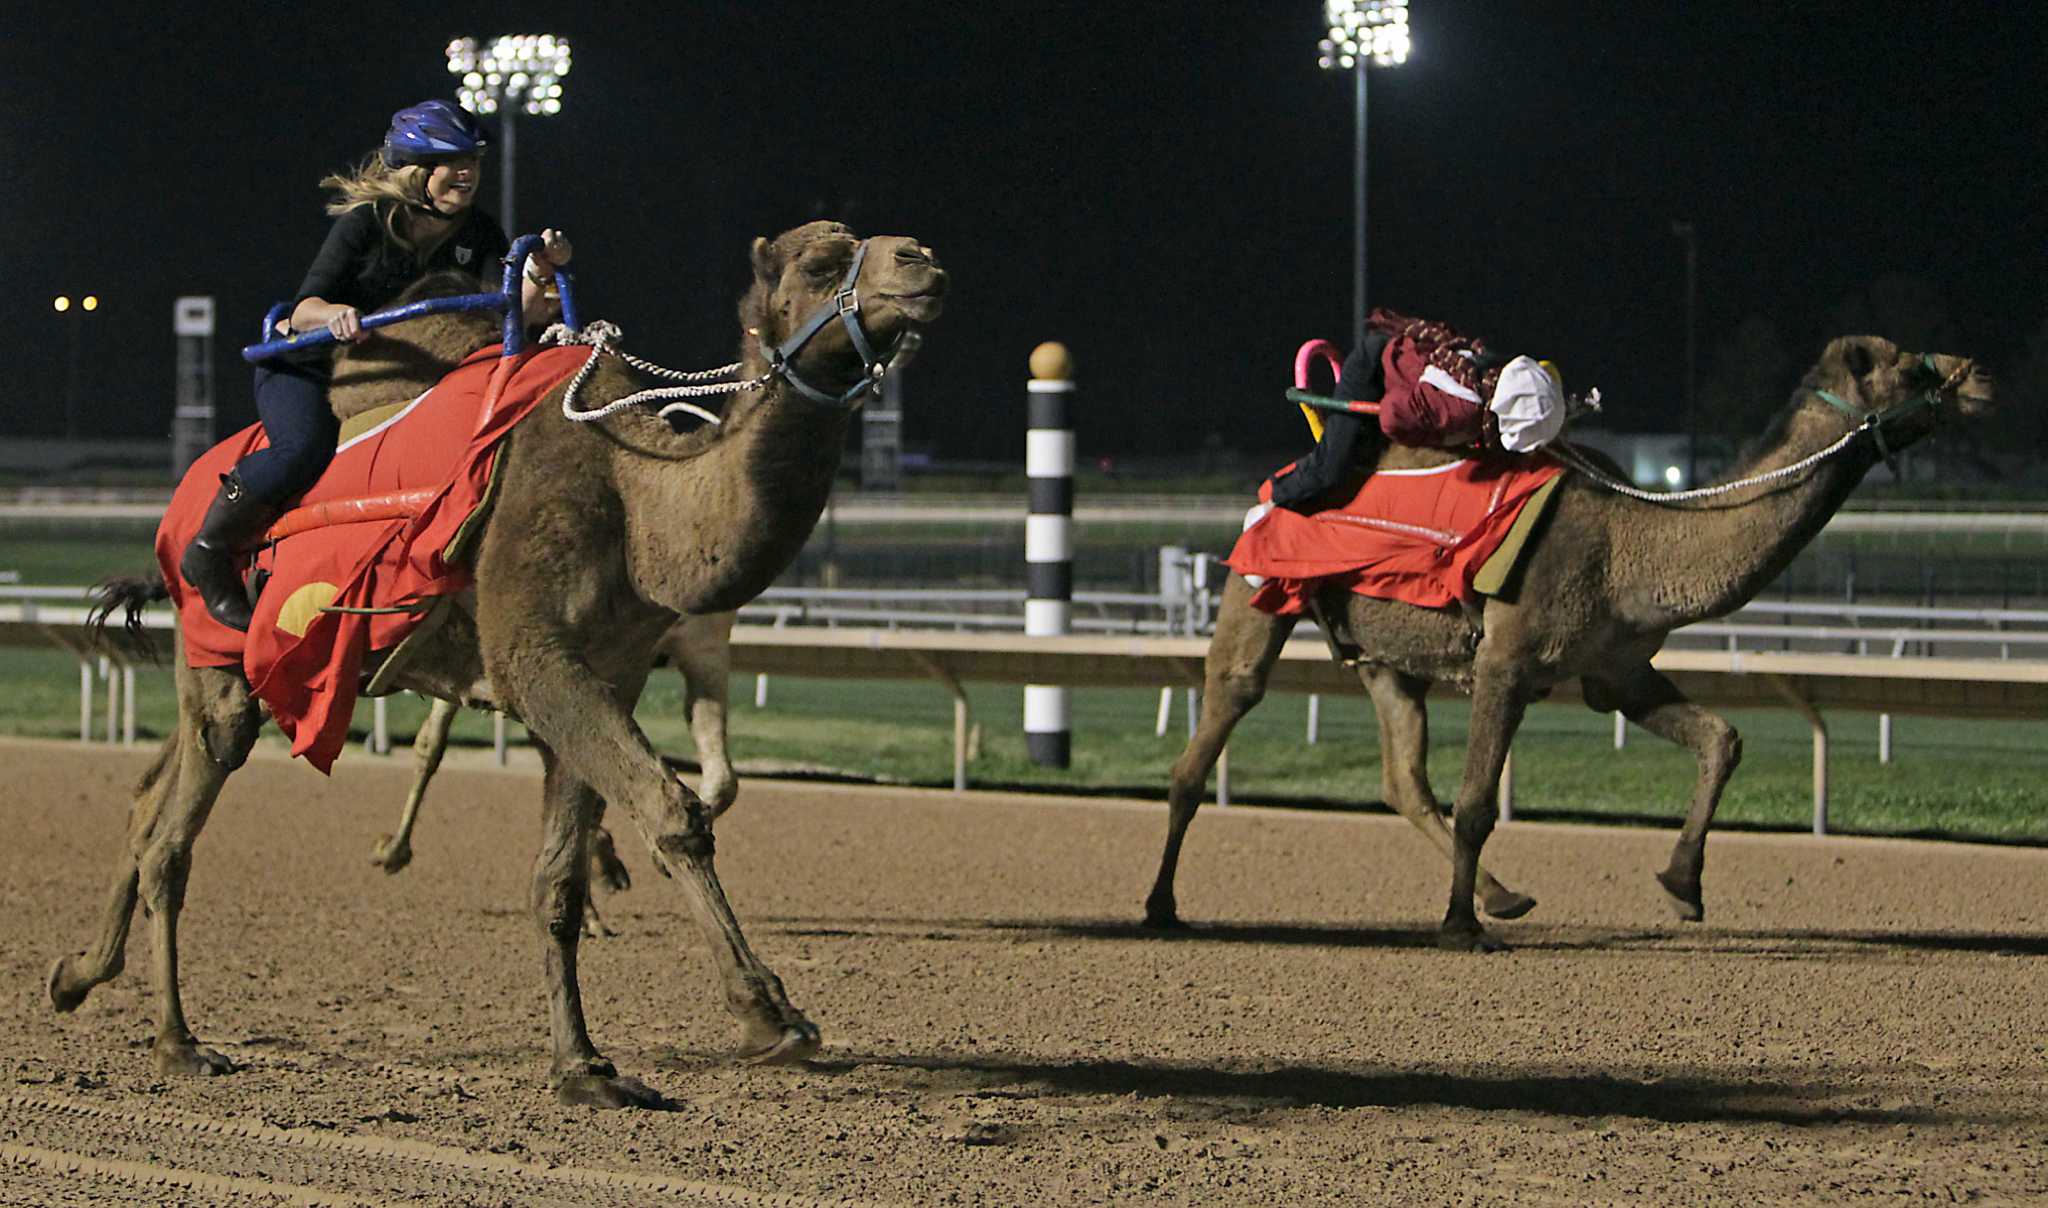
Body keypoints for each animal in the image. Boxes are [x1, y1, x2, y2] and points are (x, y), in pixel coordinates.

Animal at [52, 221, 947, 1108]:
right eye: (822, 261)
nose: (922, 261)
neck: (639, 497)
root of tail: (181, 505)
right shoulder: (533, 650)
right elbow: (672, 813)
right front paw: (771, 1016)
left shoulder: (611, 668)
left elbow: (558, 881)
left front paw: (583, 1066)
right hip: (219, 647)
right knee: (174, 835)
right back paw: (178, 1043)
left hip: (257, 670)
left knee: (148, 798)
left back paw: (76, 975)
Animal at [1145, 336, 1994, 950]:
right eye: (1908, 361)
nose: (1977, 374)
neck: (1632, 543)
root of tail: (1289, 468)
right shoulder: (1507, 661)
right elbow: (1479, 801)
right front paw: (1459, 930)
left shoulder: (1616, 667)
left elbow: (1721, 738)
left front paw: (1683, 886)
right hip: (1259, 585)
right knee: (1213, 730)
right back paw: (1161, 906)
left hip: (1382, 654)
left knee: (1402, 777)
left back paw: (1506, 895)